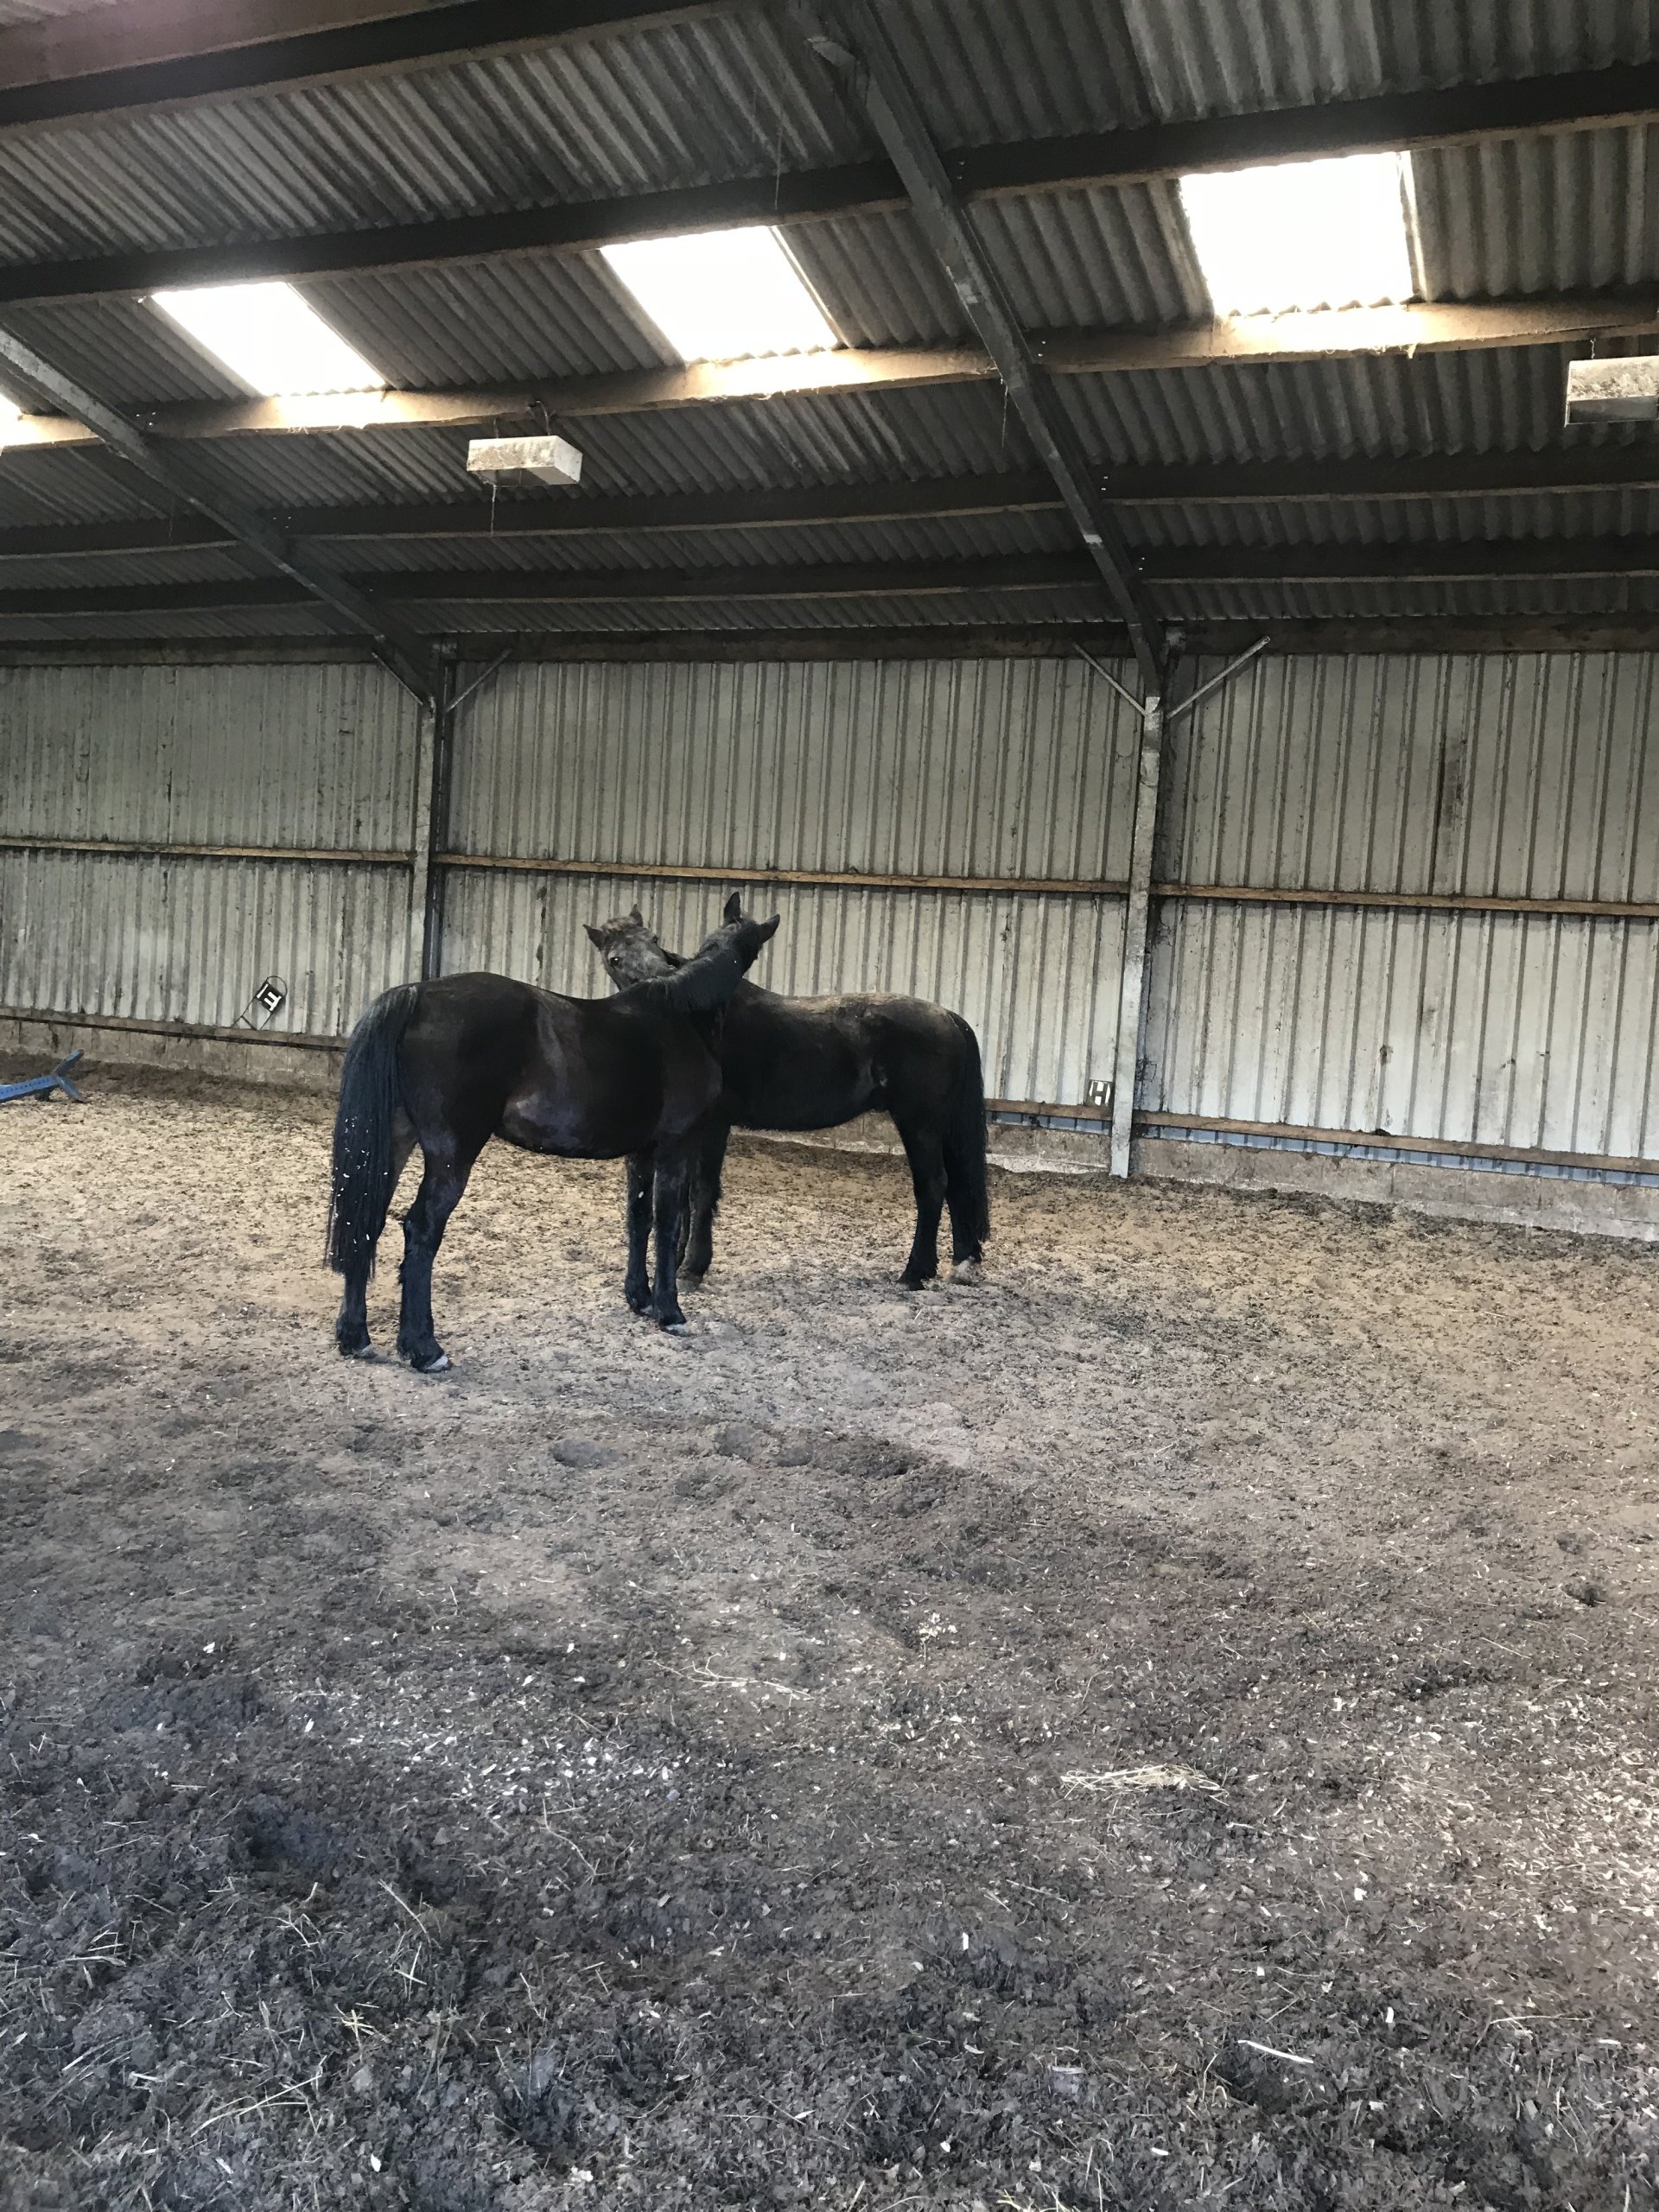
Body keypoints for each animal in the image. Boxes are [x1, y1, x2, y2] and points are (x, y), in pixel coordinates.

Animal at [325, 905, 780, 1371]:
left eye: (654, 939)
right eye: (614, 959)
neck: (679, 1014)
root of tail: (416, 994)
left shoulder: (641, 1153)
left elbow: (639, 1220)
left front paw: (641, 1299)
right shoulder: (677, 1146)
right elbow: (668, 1226)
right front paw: (670, 1312)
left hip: (393, 1143)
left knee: (366, 1221)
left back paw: (355, 1337)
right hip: (453, 1154)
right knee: (420, 1229)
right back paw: (424, 1349)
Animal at [584, 895, 989, 1290]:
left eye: (654, 940)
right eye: (615, 958)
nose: (658, 981)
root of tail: (948, 1015)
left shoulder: (715, 1124)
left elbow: (702, 1191)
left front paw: (691, 1269)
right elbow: (681, 1196)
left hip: (918, 1124)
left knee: (933, 1187)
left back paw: (913, 1273)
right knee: (958, 1186)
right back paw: (960, 1264)